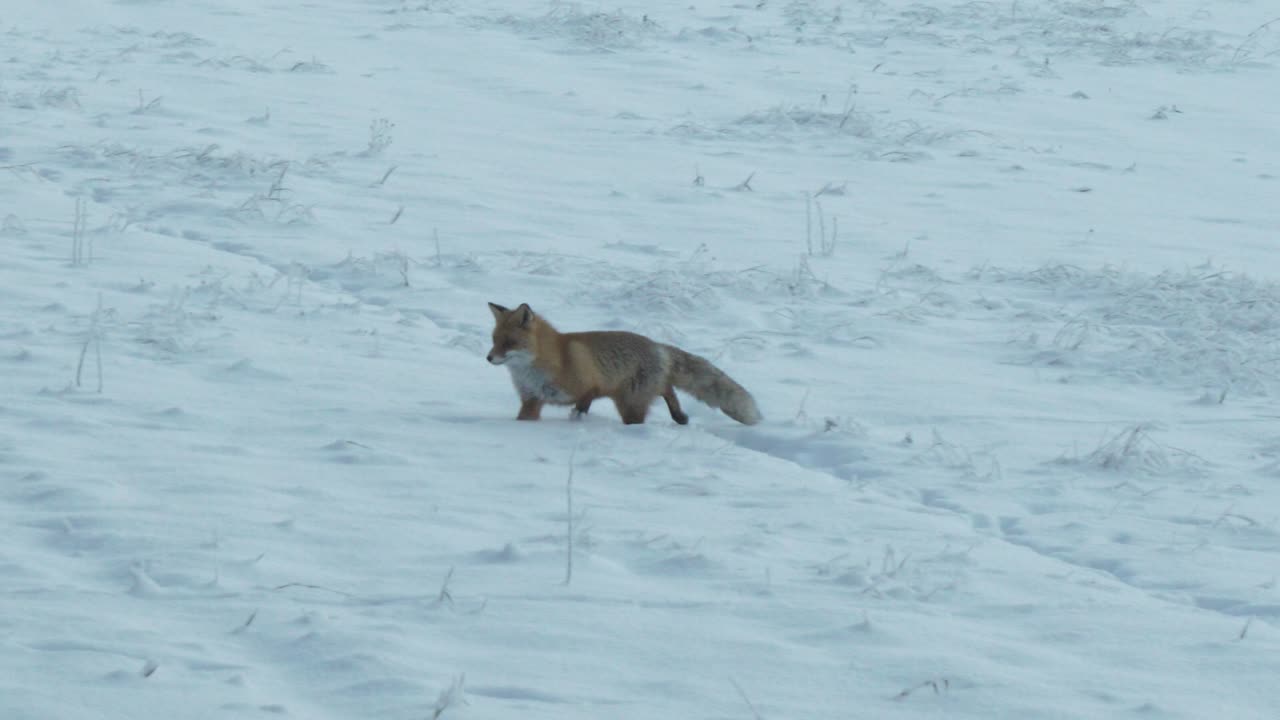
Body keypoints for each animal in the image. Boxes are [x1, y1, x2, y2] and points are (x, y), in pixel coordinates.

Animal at [486, 302, 762, 426]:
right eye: (494, 340)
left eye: (509, 343)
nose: (488, 358)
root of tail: (657, 345)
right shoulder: (532, 401)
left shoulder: (591, 384)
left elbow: (585, 401)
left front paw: (578, 417)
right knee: (667, 388)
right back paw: (679, 415)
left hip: (630, 405)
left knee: (661, 393)